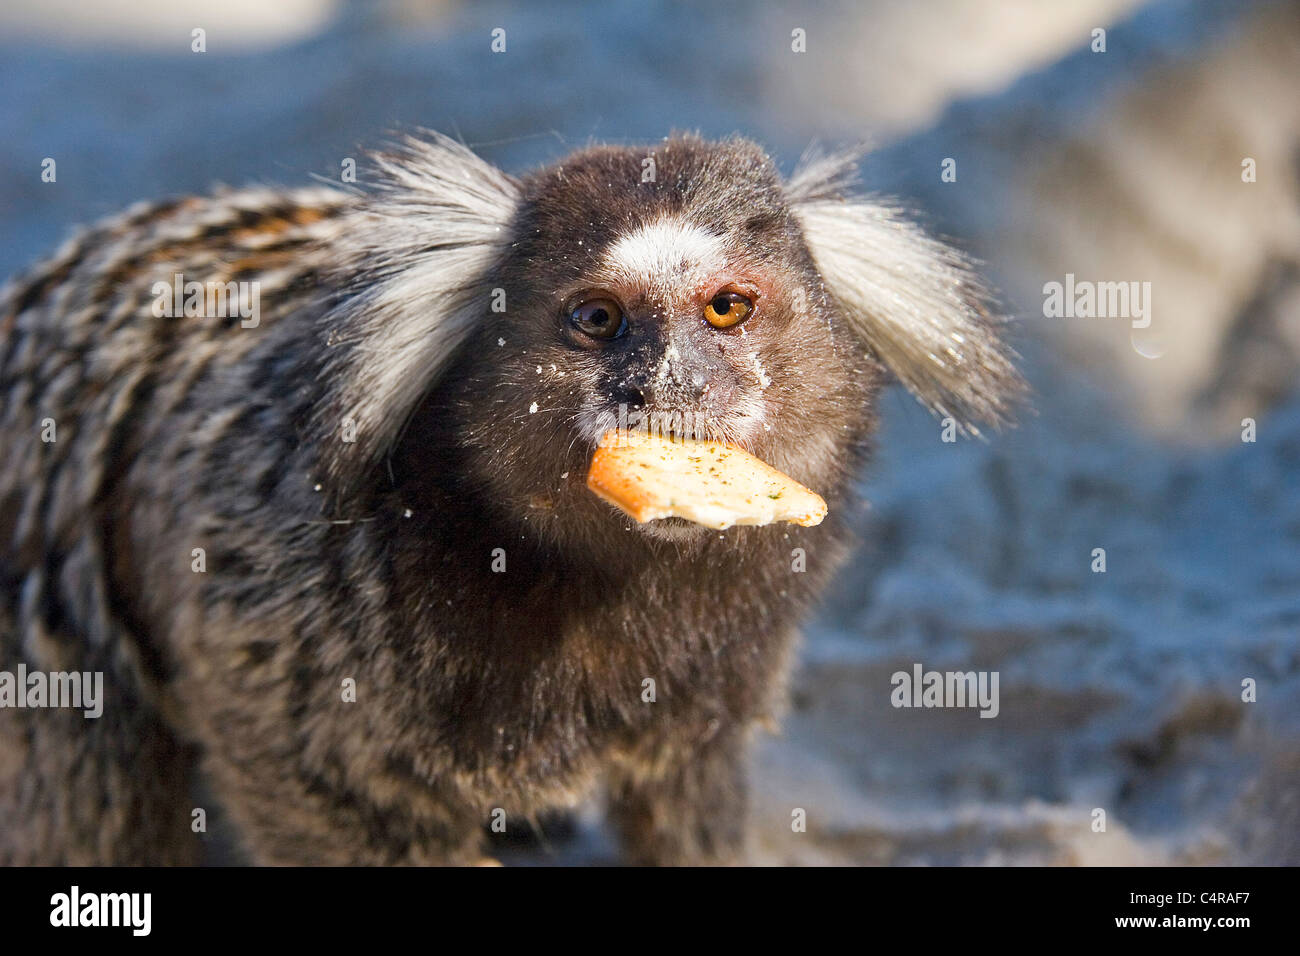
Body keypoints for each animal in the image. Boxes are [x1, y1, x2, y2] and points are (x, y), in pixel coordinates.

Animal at [0, 132, 1021, 865]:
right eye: (597, 319)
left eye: (727, 308)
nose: (669, 384)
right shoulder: (284, 597)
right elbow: (303, 784)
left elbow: (687, 792)